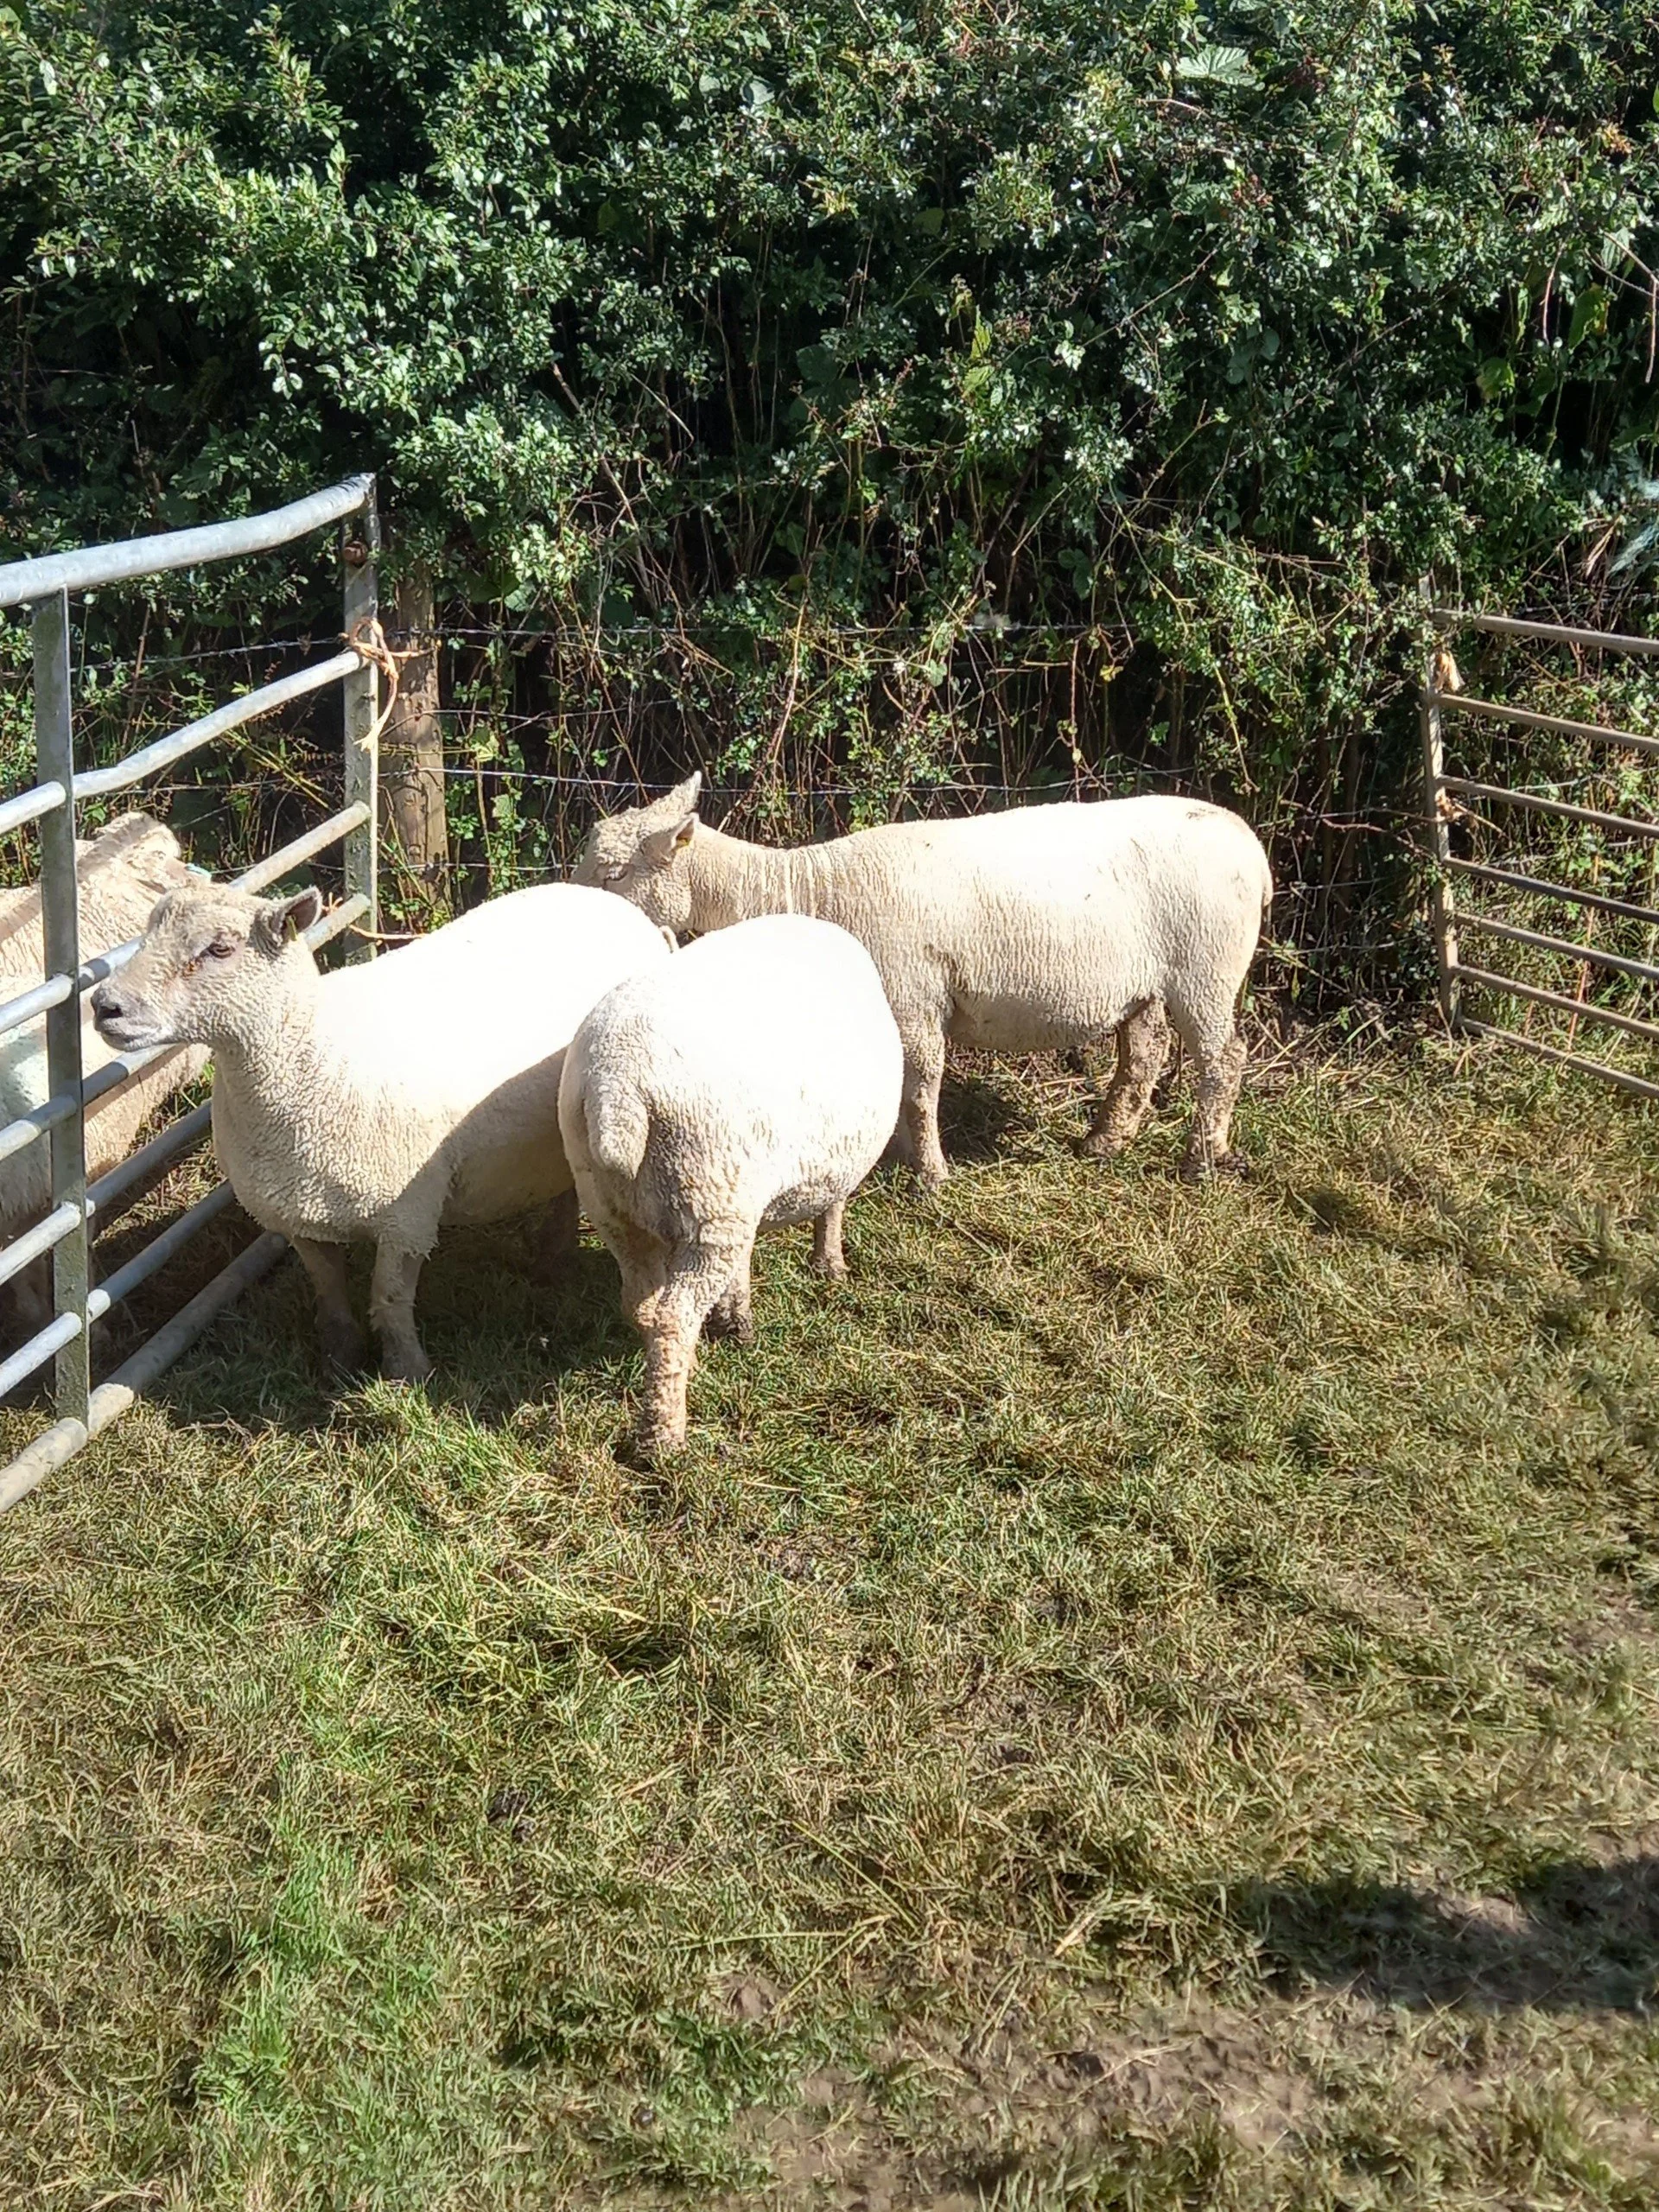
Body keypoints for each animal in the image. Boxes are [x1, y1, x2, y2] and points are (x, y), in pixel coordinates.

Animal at [91, 880, 673, 1383]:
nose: (104, 1006)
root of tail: (612, 902)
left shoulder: (407, 1216)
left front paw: (406, 1373)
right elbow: (329, 1291)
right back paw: (551, 1259)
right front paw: (340, 1359)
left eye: (219, 949)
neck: (313, 1053)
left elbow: (390, 1300)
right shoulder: (299, 1215)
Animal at [559, 913, 903, 1462]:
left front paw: (734, 1319)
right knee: (673, 1317)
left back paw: (683, 1369)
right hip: (706, 1195)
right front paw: (829, 1265)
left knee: (641, 1304)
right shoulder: (823, 1165)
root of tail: (616, 1091)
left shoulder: (744, 1195)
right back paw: (662, 1438)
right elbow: (833, 1207)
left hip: (617, 1205)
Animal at [574, 778, 1273, 1188]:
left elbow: (921, 1084)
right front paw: (907, 1157)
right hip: (1146, 980)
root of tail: (1252, 848)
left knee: (1223, 1059)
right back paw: (1104, 1142)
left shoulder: (914, 998)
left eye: (612, 874)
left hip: (1207, 966)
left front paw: (931, 1175)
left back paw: (1203, 1158)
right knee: (1146, 1053)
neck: (810, 888)